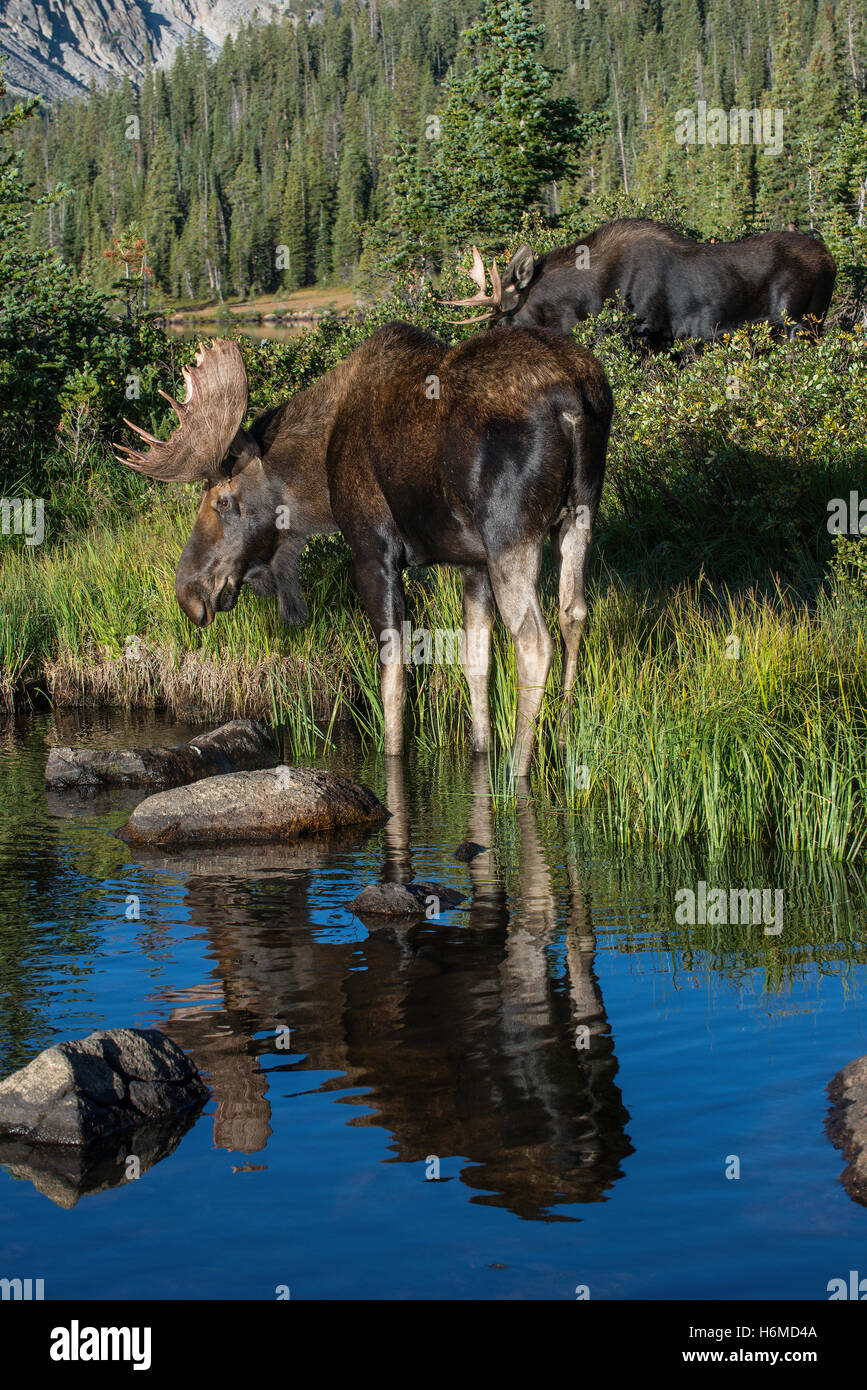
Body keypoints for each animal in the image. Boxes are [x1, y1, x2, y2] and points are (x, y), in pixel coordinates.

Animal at [116, 323, 613, 777]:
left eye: (222, 500)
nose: (189, 592)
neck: (317, 478)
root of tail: (572, 398)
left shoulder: (374, 548)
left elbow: (394, 676)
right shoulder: (470, 562)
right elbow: (476, 664)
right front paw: (482, 753)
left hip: (511, 532)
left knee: (534, 641)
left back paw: (518, 769)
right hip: (578, 515)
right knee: (573, 614)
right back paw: (563, 740)